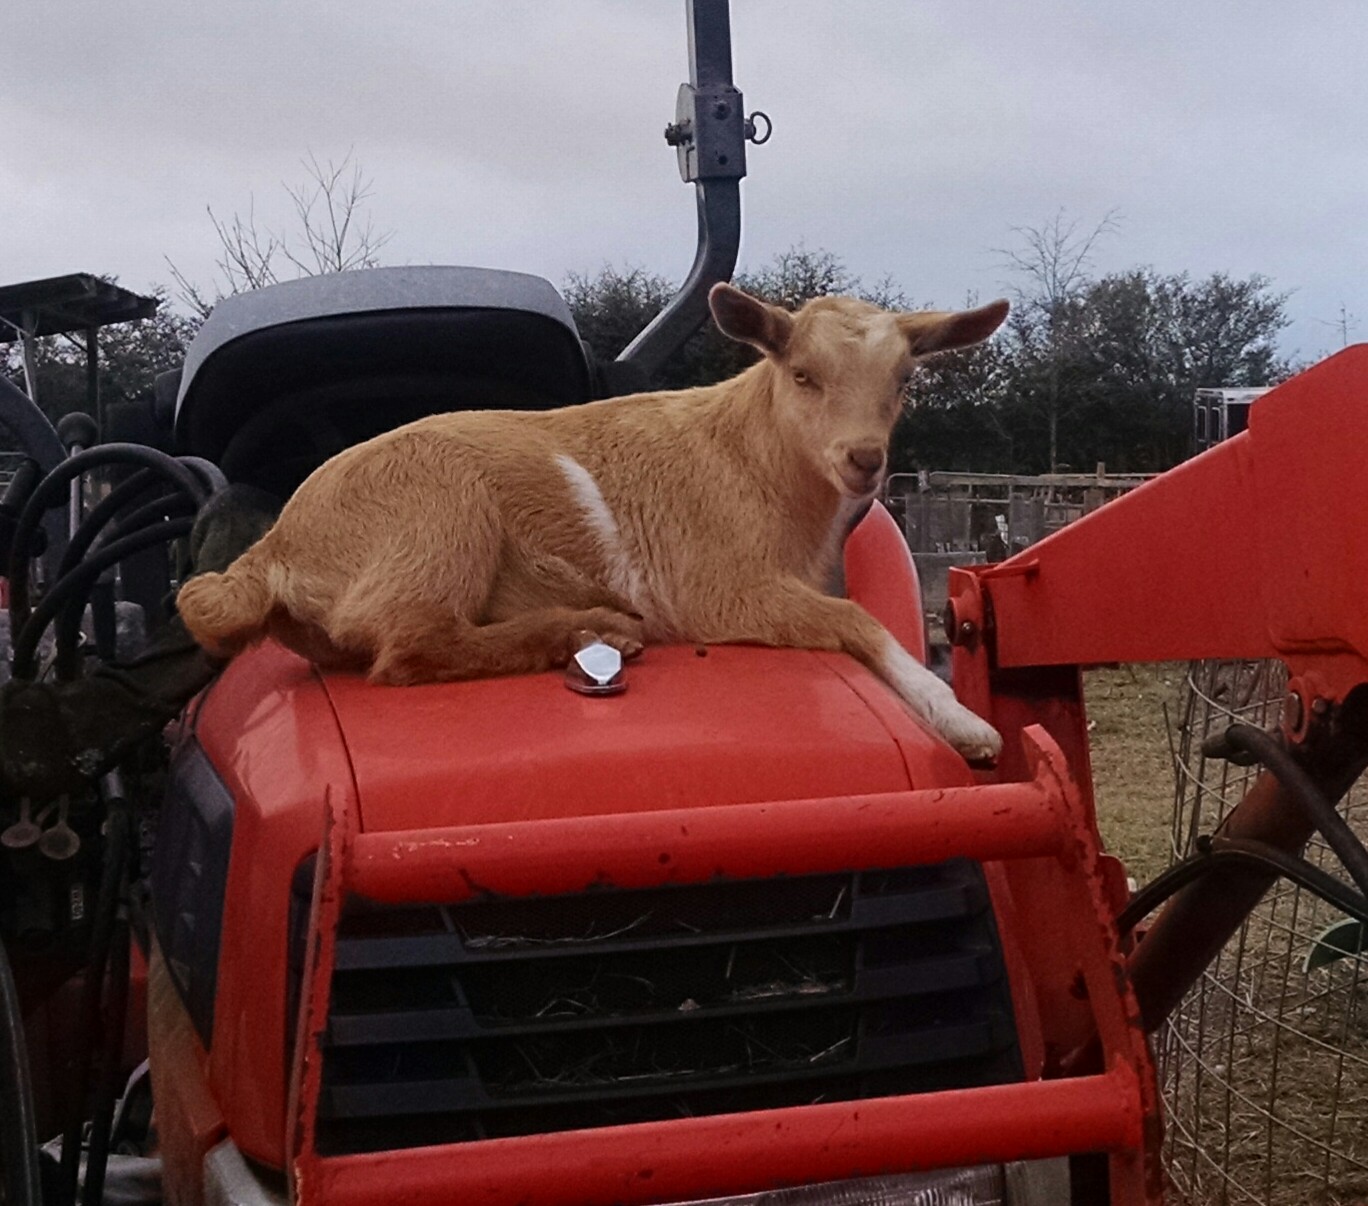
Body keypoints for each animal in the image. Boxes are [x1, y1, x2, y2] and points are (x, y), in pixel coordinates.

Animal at [177, 283, 1008, 760]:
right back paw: (592, 628)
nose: (863, 459)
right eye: (802, 375)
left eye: (903, 380)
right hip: (440, 514)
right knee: (410, 644)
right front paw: (962, 724)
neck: (756, 459)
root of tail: (274, 550)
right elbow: (855, 619)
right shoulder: (717, 589)